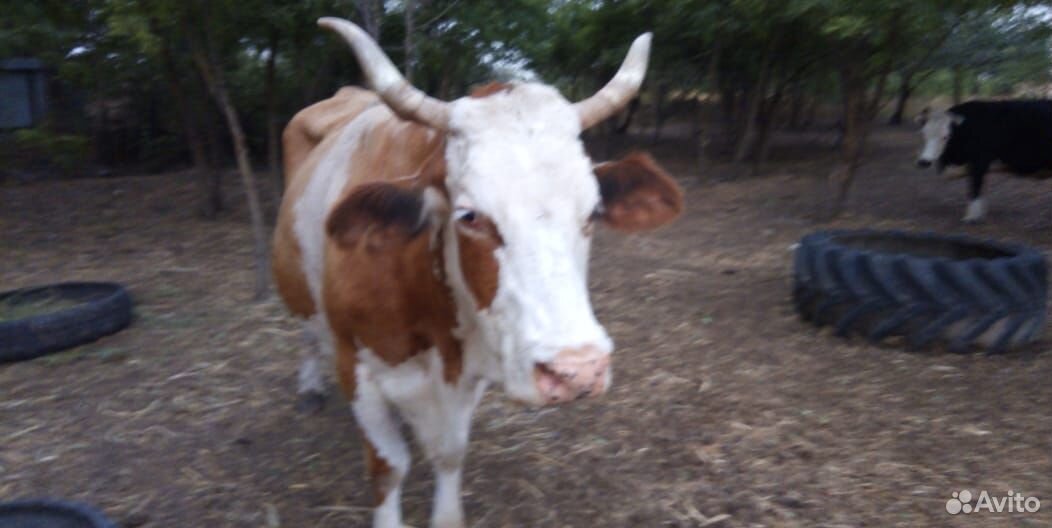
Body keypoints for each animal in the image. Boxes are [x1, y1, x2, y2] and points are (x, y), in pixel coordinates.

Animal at [271, 17, 683, 528]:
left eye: (593, 212)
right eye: (470, 216)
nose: (577, 371)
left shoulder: (468, 378)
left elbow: (449, 453)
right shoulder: (358, 367)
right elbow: (388, 467)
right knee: (307, 331)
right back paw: (310, 385)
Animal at [915, 100, 1052, 222]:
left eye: (946, 136)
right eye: (924, 134)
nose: (924, 162)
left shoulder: (979, 162)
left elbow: (975, 187)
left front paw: (971, 217)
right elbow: (980, 188)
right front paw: (980, 213)